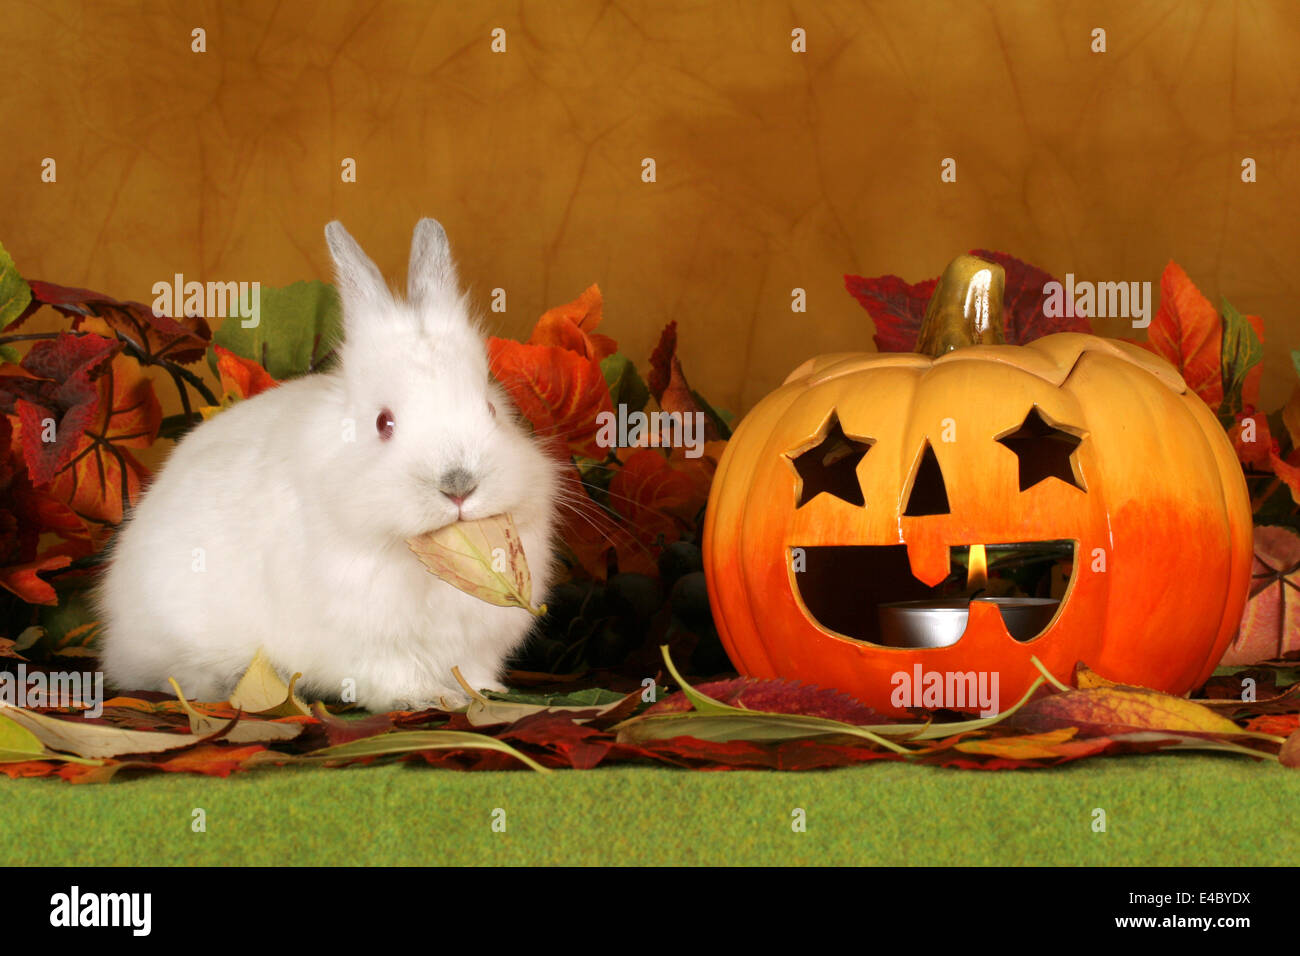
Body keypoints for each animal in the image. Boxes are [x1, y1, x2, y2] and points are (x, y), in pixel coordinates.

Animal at [96, 218, 561, 711]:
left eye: (491, 409)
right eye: (383, 423)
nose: (459, 484)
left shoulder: (476, 644)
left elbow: (473, 671)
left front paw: (487, 692)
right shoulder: (367, 643)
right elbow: (393, 676)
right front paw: (428, 698)